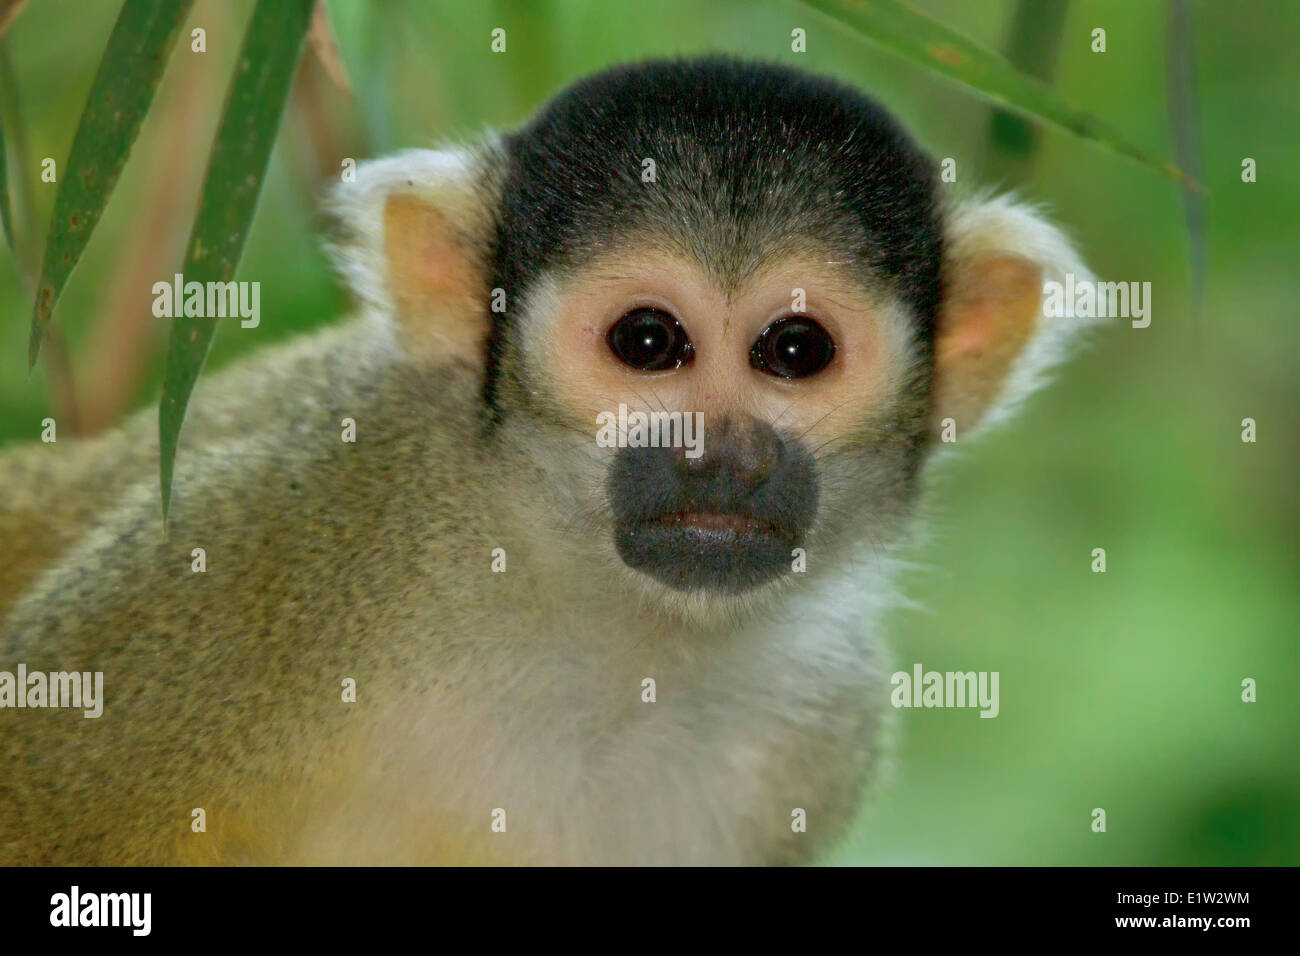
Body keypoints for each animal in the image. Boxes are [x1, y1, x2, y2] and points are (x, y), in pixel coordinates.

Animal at [0, 57, 1095, 865]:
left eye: (796, 351)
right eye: (648, 342)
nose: (724, 456)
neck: (605, 630)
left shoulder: (818, 737)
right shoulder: (284, 538)